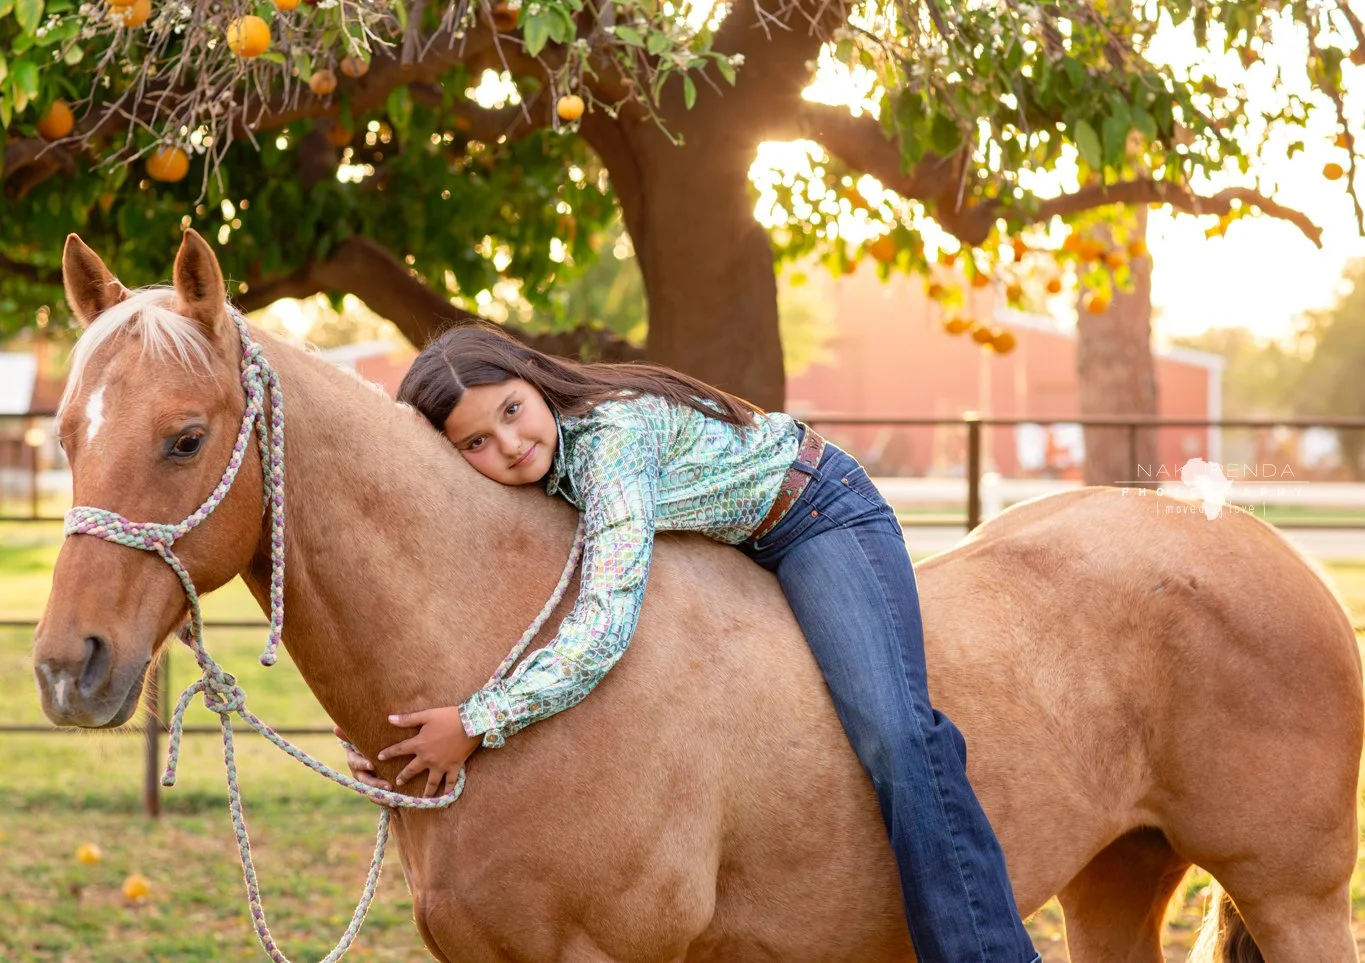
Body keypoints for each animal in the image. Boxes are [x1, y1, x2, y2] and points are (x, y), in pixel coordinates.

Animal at [34, 229, 1363, 962]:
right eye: (63, 432)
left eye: (185, 437)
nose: (65, 666)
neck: (487, 637)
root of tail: (1259, 547)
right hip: (1118, 878)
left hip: (1294, 895)